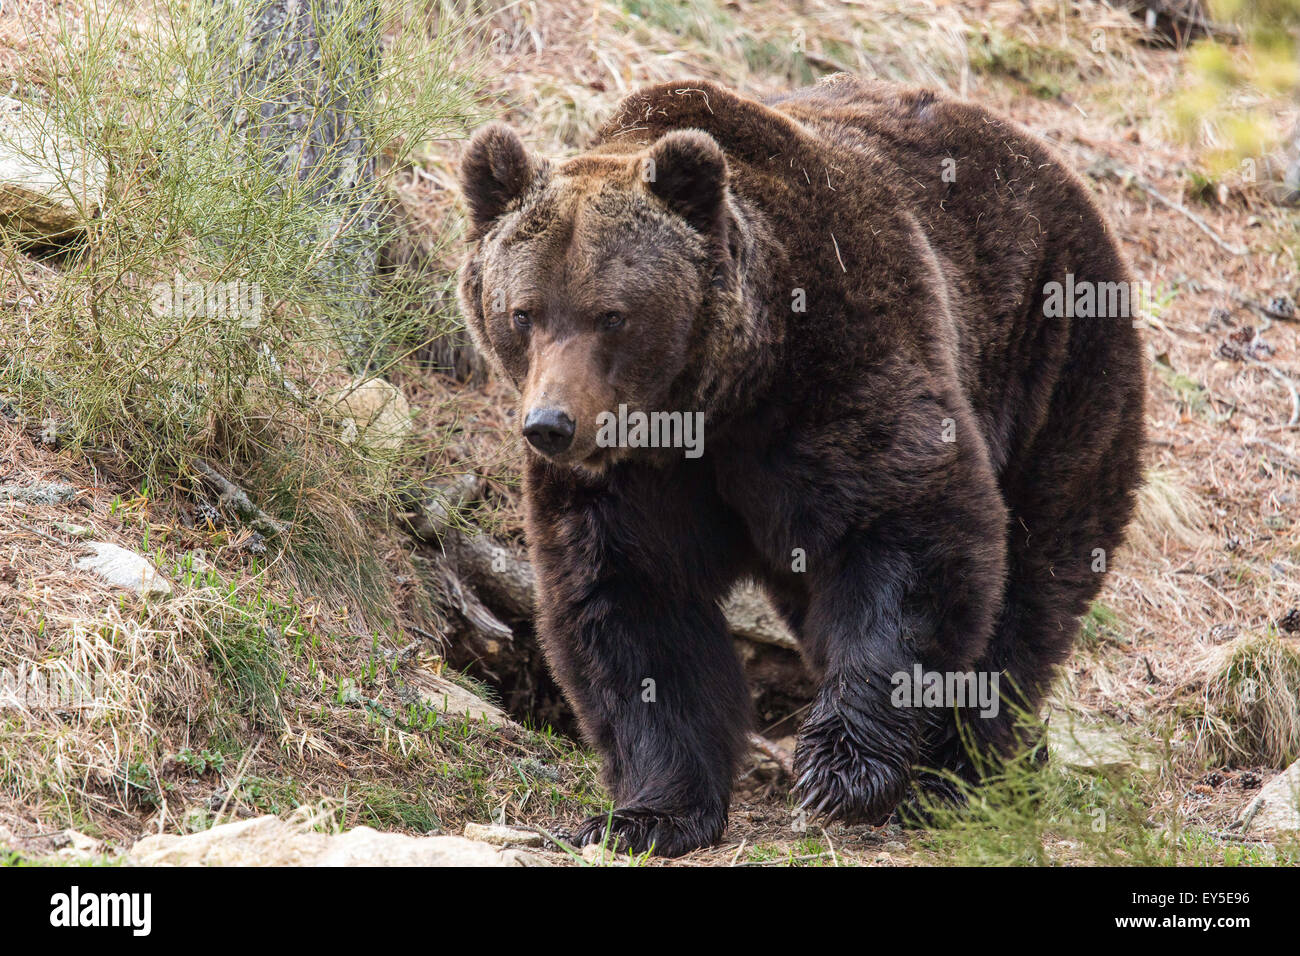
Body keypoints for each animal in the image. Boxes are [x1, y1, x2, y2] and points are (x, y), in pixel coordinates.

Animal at [456, 75, 1145, 857]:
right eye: (522, 313)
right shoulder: (630, 483)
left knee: (1035, 574)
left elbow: (913, 531)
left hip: (1054, 355)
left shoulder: (841, 365)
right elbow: (633, 610)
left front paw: (840, 770)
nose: (551, 424)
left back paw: (955, 776)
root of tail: (1045, 158)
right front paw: (649, 813)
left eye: (612, 315)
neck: (713, 405)